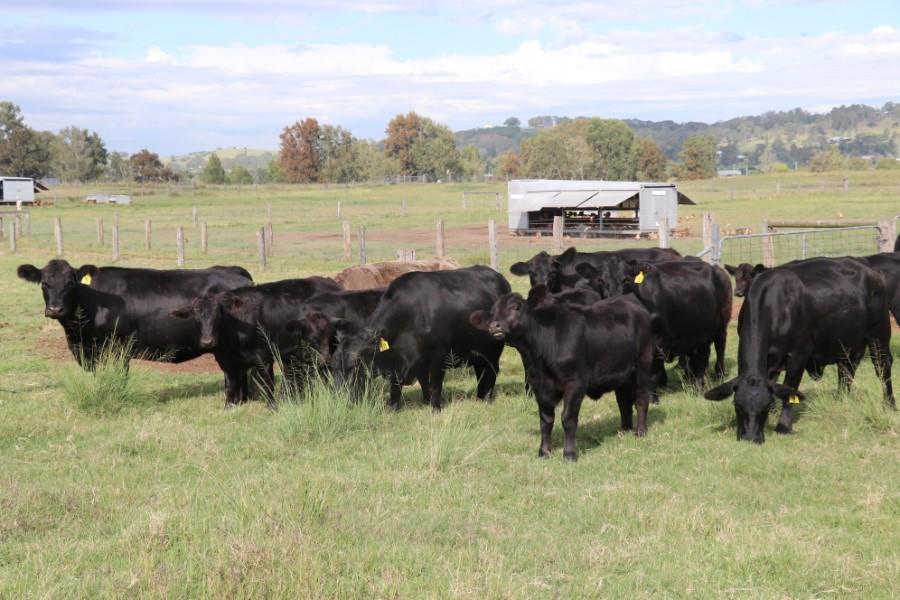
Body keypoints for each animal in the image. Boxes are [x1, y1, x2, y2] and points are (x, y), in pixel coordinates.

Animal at [170, 277, 341, 406]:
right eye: (196, 317)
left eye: (218, 315)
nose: (207, 341)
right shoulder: (227, 362)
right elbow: (231, 386)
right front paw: (229, 406)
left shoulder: (264, 357)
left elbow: (268, 383)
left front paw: (272, 406)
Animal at [329, 266, 509, 410]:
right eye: (334, 367)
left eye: (354, 365)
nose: (338, 398)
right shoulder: (405, 361)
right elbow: (405, 385)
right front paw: (398, 406)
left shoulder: (439, 355)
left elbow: (434, 384)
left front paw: (435, 407)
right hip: (478, 350)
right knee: (480, 371)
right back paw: (479, 397)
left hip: (494, 349)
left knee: (491, 371)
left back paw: (487, 398)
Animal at [469, 286, 656, 461]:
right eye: (492, 313)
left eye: (516, 307)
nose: (494, 326)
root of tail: (631, 300)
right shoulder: (538, 385)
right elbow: (545, 420)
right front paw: (544, 451)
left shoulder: (576, 383)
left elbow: (568, 418)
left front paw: (570, 453)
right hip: (621, 373)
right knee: (623, 401)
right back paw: (624, 430)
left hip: (643, 364)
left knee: (641, 399)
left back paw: (640, 431)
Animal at [705, 258, 894, 443]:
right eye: (737, 405)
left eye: (765, 406)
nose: (751, 438)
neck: (775, 305)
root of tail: (871, 271)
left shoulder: (799, 354)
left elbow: (790, 390)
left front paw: (782, 425)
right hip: (848, 345)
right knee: (846, 371)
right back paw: (842, 400)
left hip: (878, 335)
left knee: (882, 367)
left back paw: (889, 404)